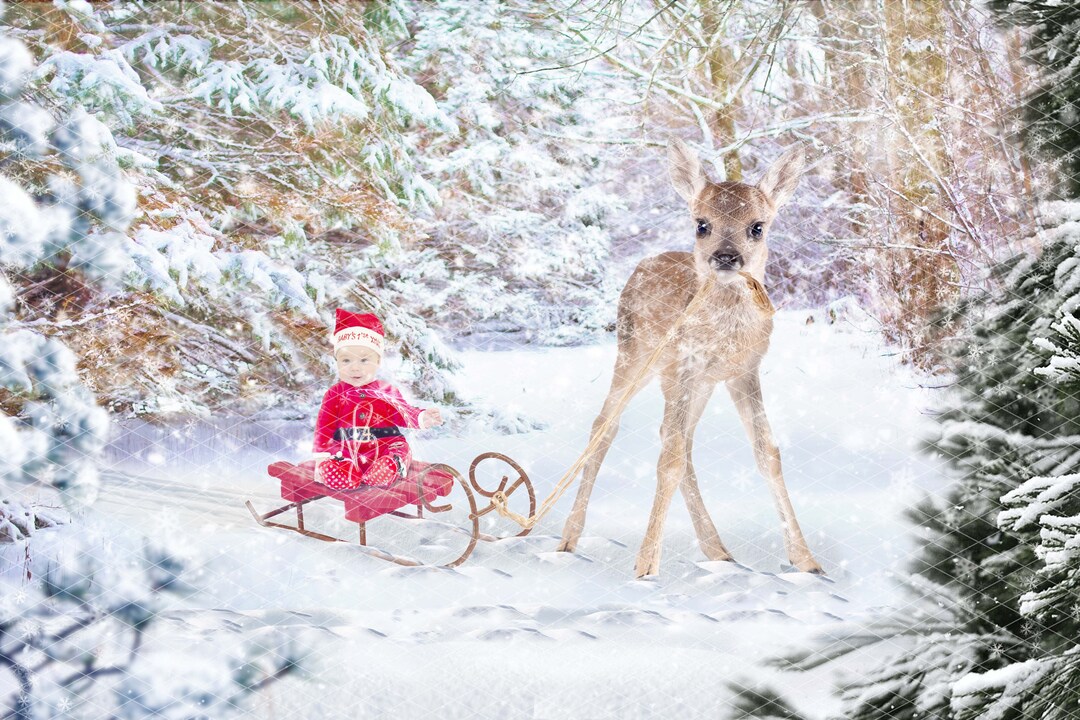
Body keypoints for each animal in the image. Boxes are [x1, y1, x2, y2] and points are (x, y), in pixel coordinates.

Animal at [556, 140, 824, 578]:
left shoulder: (743, 371)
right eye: (702, 223)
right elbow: (669, 460)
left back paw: (718, 551)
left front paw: (807, 561)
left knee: (677, 438)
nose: (726, 257)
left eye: (758, 226)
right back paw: (567, 540)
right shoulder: (685, 363)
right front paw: (646, 567)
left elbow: (768, 453)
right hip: (636, 354)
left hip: (692, 382)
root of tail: (643, 262)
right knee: (607, 426)